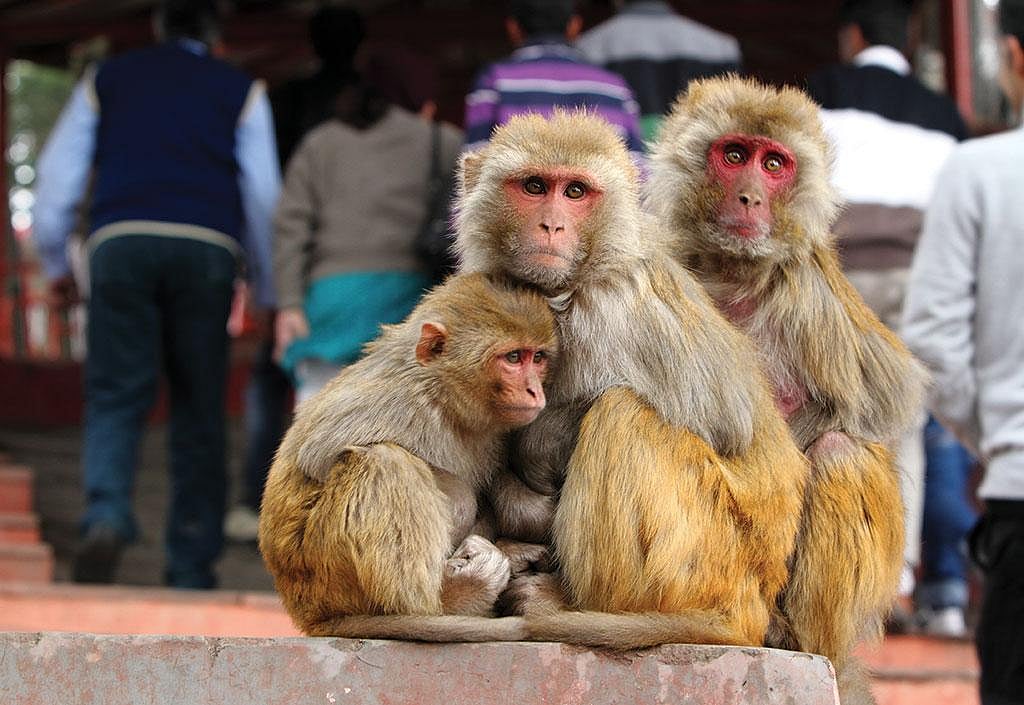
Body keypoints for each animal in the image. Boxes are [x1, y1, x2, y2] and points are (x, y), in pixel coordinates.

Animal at [258, 272, 559, 637]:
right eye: (514, 358)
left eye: (537, 357)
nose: (535, 391)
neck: (442, 393)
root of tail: (304, 610)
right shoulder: (402, 404)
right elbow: (318, 454)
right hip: (325, 575)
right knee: (386, 463)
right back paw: (446, 601)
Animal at [451, 110, 811, 648]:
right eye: (535, 186)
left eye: (575, 192)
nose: (552, 224)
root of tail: (752, 604)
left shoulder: (613, 307)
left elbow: (725, 421)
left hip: (703, 561)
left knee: (620, 414)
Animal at [646, 75, 928, 704]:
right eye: (734, 156)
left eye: (774, 164)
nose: (750, 197)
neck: (729, 275)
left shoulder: (810, 294)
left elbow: (881, 406)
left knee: (843, 451)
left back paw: (797, 637)